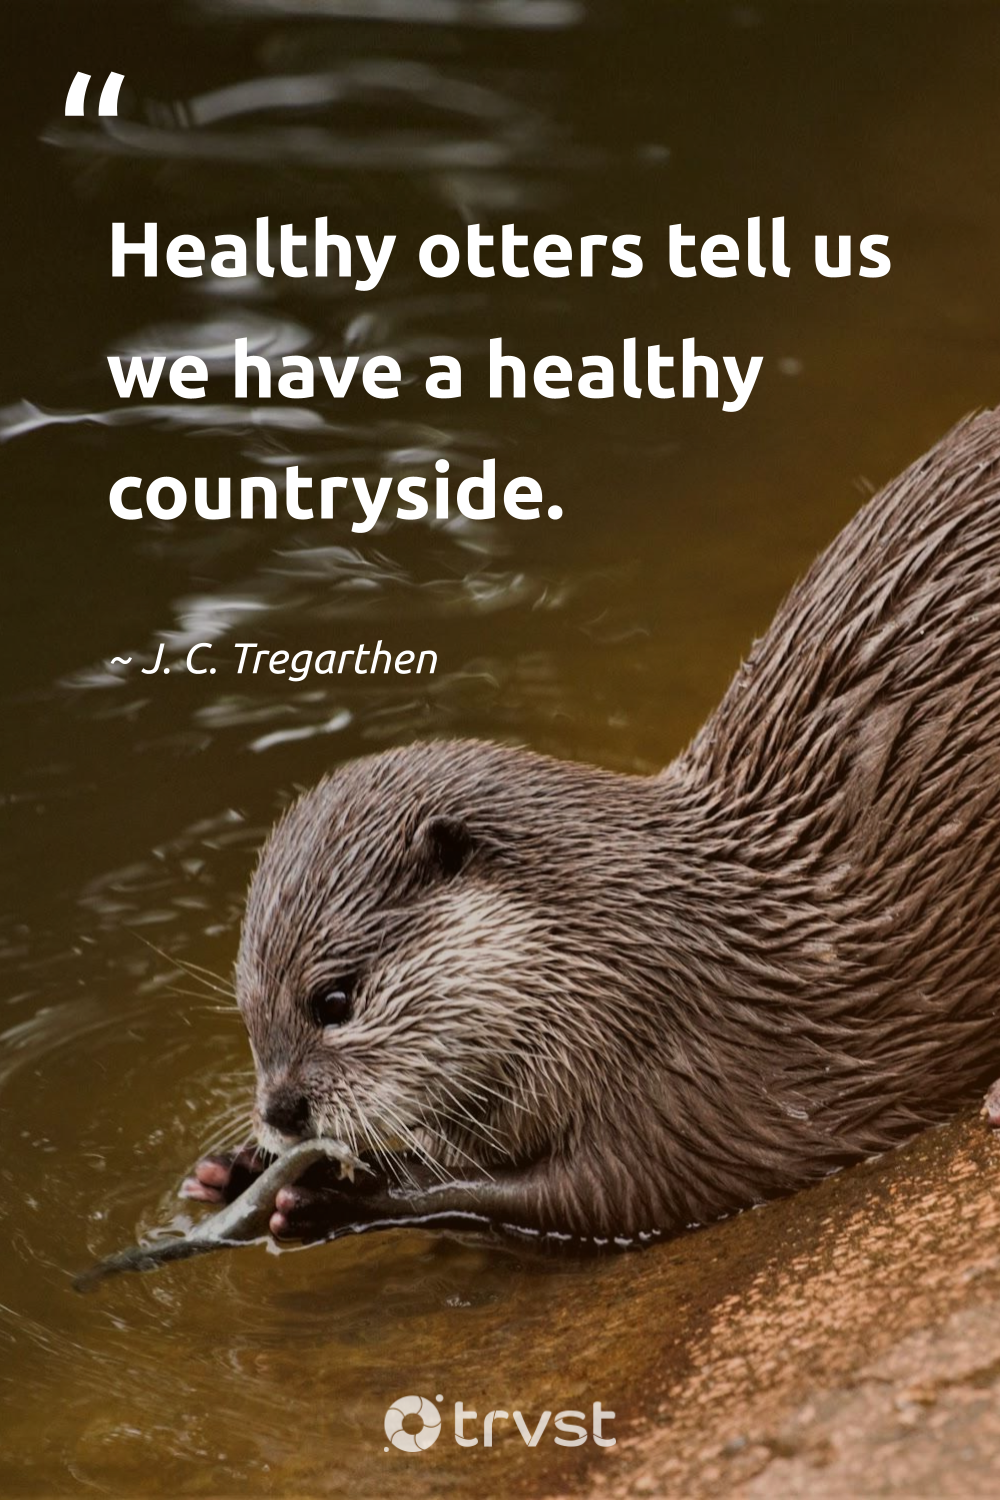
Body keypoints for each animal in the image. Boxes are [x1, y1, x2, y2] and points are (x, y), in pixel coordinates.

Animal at [184, 410, 1000, 1248]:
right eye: (248, 1012)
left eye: (334, 1001)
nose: (281, 1111)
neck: (631, 948)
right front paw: (236, 1169)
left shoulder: (676, 1078)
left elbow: (571, 1195)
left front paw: (332, 1195)